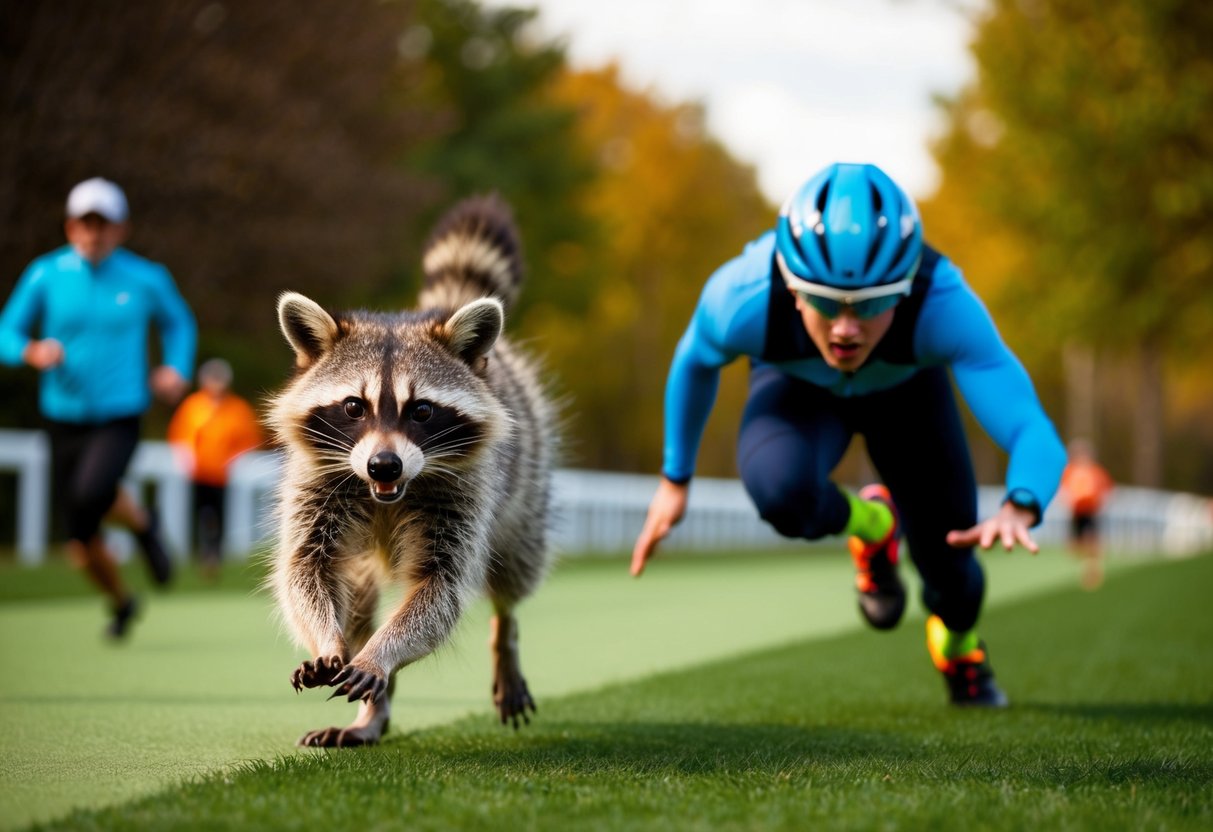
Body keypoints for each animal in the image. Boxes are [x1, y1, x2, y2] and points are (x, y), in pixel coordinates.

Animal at [267, 195, 558, 747]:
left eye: (421, 410)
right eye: (353, 406)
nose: (384, 463)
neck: (388, 491)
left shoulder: (466, 491)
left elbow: (439, 590)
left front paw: (381, 654)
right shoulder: (318, 481)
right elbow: (305, 568)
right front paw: (329, 640)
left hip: (526, 486)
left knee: (512, 575)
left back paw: (504, 636)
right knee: (357, 595)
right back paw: (370, 711)